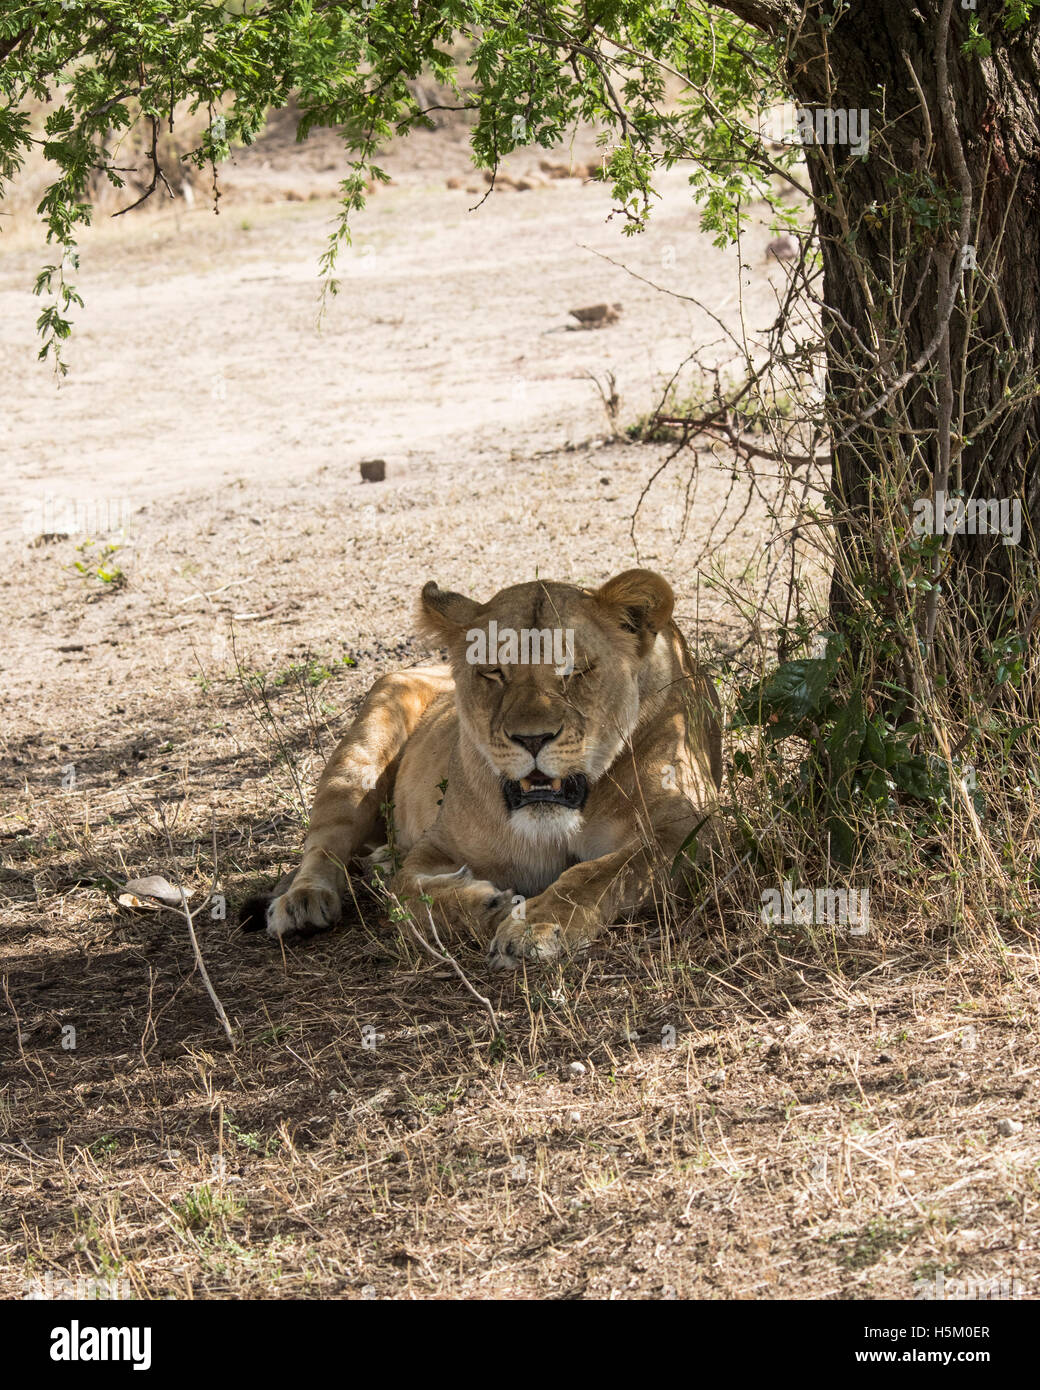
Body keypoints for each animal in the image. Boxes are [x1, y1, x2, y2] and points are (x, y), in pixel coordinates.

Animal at [245, 569, 721, 969]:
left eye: (574, 670)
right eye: (493, 672)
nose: (532, 739)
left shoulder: (690, 829)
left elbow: (601, 873)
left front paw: (534, 926)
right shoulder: (437, 847)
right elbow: (408, 895)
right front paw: (494, 906)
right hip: (360, 755)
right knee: (324, 845)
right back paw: (303, 901)